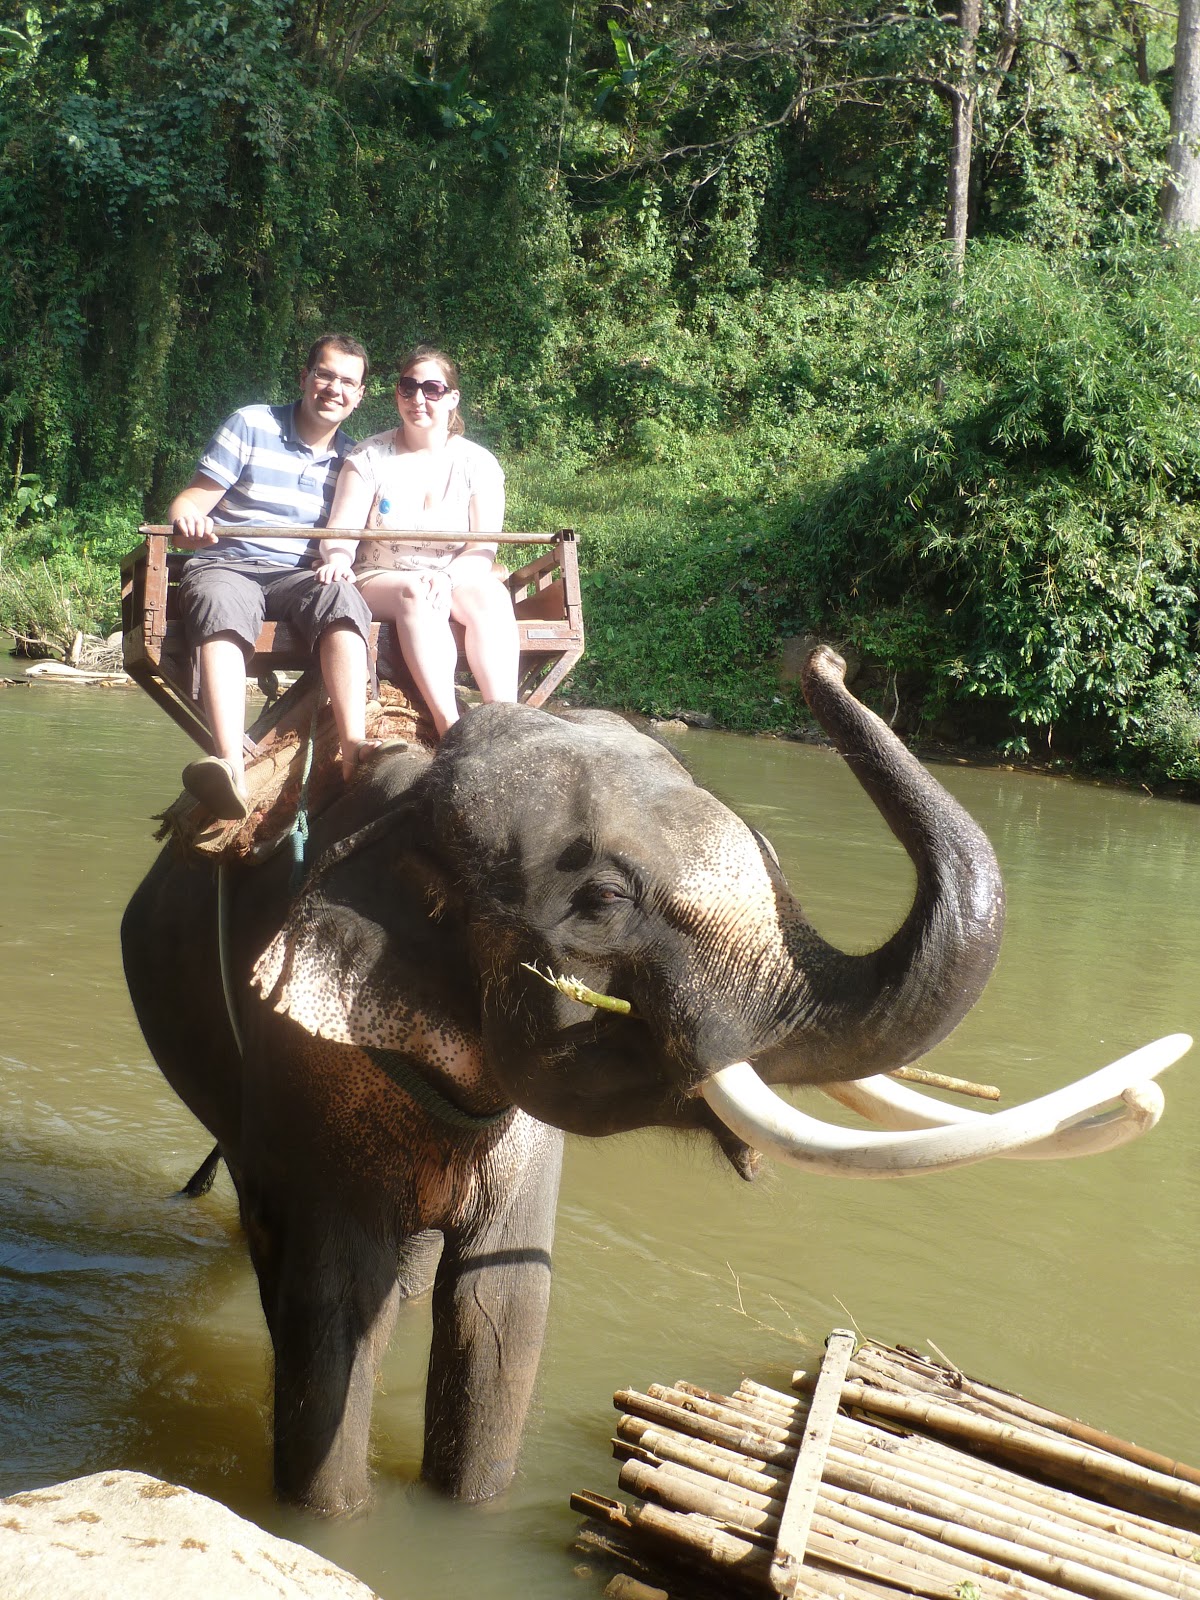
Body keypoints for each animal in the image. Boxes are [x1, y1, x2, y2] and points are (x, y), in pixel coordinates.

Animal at [120, 646, 1188, 1515]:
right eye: (599, 900)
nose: (824, 657)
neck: (409, 797)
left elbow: (505, 1306)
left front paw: (467, 1503)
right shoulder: (304, 1062)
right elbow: (335, 1305)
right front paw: (330, 1519)